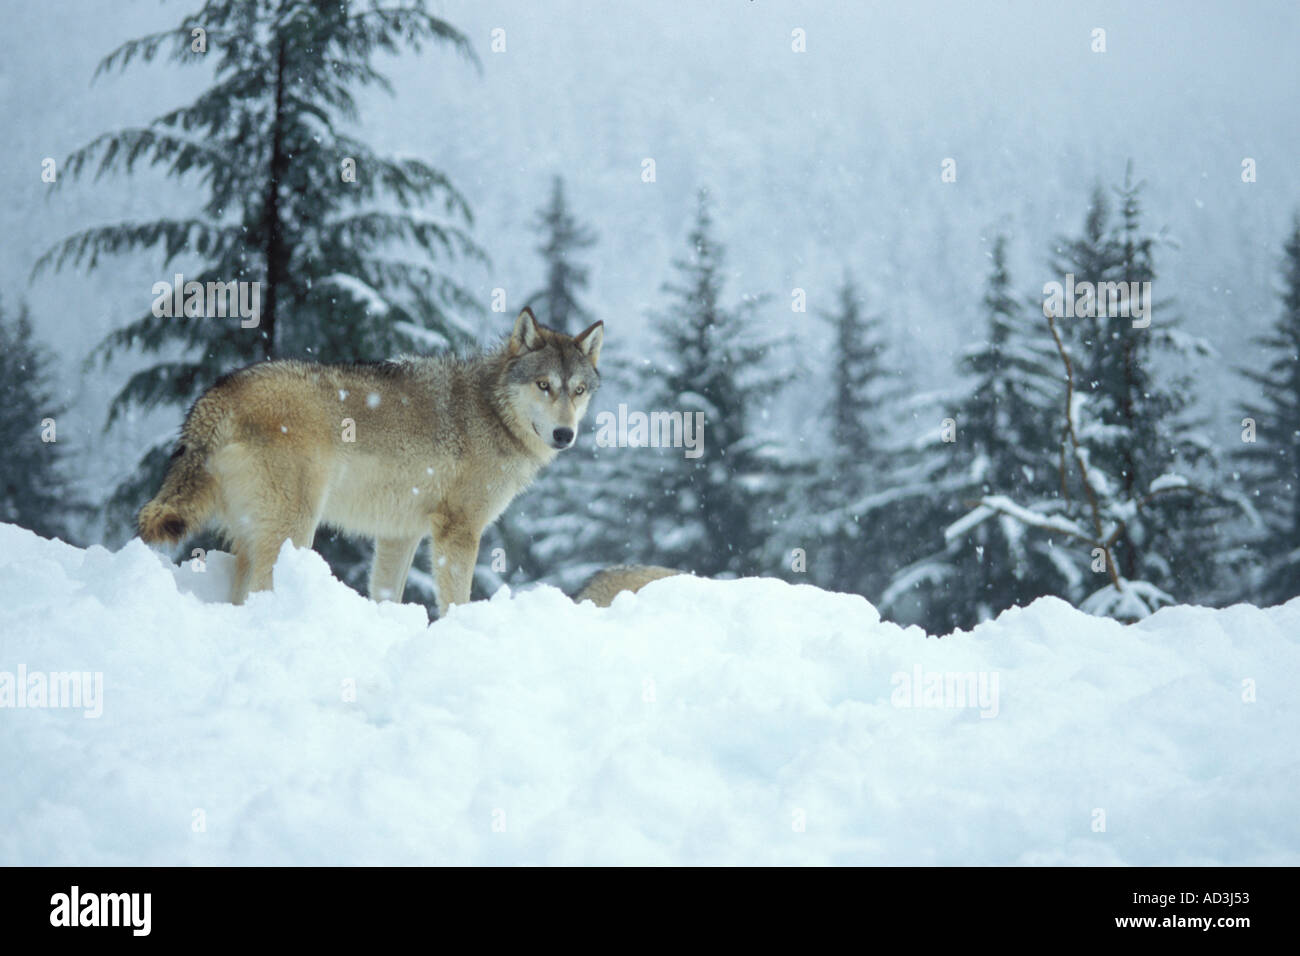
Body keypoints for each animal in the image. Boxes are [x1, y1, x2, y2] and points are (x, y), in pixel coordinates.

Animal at [137, 308, 603, 615]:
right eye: (544, 385)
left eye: (578, 390)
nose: (565, 435)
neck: (491, 412)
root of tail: (222, 391)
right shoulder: (459, 531)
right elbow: (456, 599)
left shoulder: (399, 534)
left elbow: (386, 594)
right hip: (294, 531)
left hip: (253, 538)